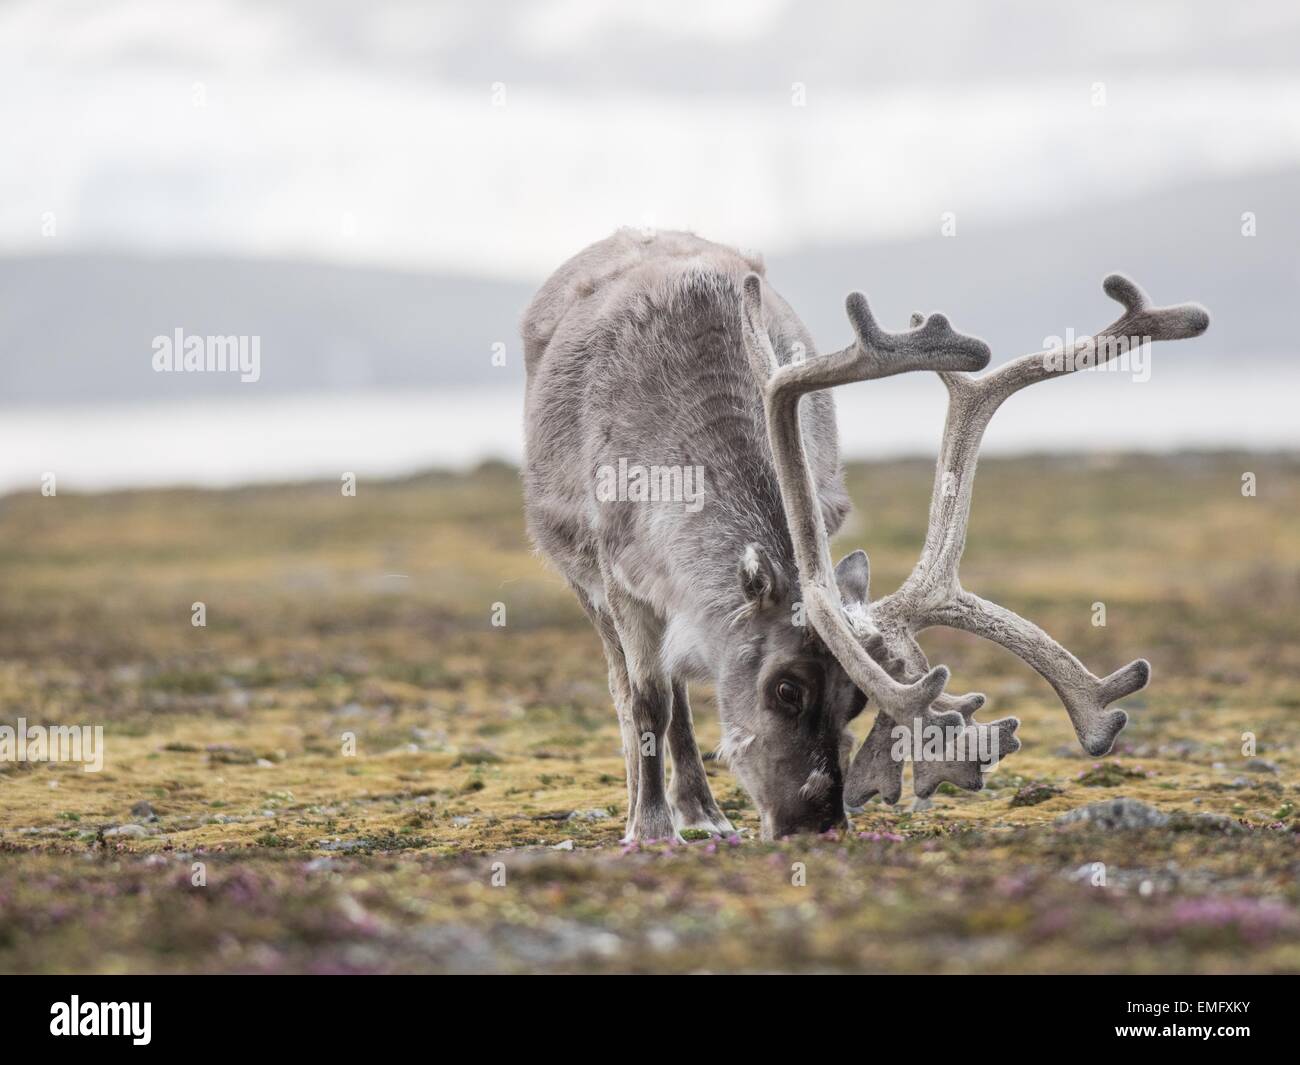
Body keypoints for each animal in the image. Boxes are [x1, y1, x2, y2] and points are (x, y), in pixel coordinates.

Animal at [522, 228, 1208, 841]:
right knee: (643, 690)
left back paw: (704, 810)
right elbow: (648, 702)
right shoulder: (619, 577)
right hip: (576, 572)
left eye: (854, 702)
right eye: (786, 689)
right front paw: (649, 828)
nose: (817, 825)